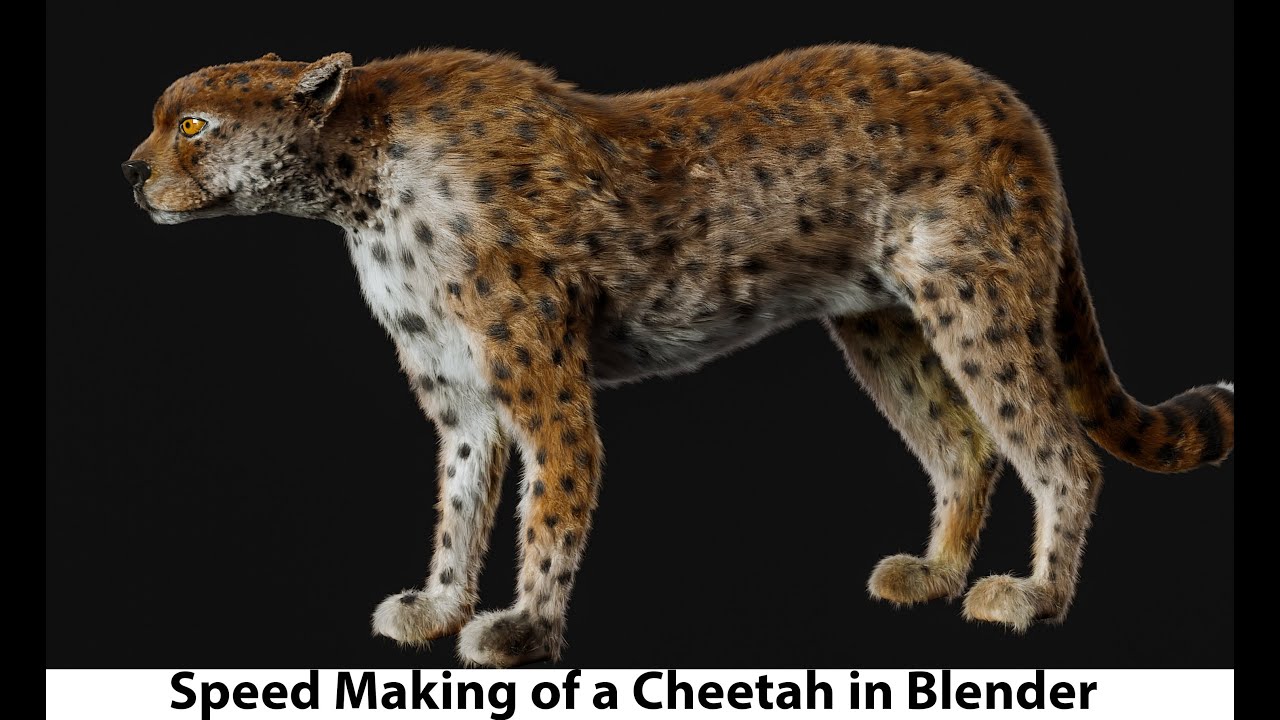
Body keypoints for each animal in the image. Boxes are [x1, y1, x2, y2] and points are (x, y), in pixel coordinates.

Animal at [124, 44, 1235, 667]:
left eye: (194, 126)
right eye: (162, 121)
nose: (131, 174)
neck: (355, 179)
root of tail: (1011, 102)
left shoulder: (545, 387)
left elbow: (546, 509)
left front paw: (521, 631)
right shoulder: (463, 399)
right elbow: (460, 505)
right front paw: (439, 604)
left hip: (976, 307)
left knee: (1059, 452)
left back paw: (1031, 598)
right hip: (884, 325)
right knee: (965, 446)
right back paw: (934, 573)